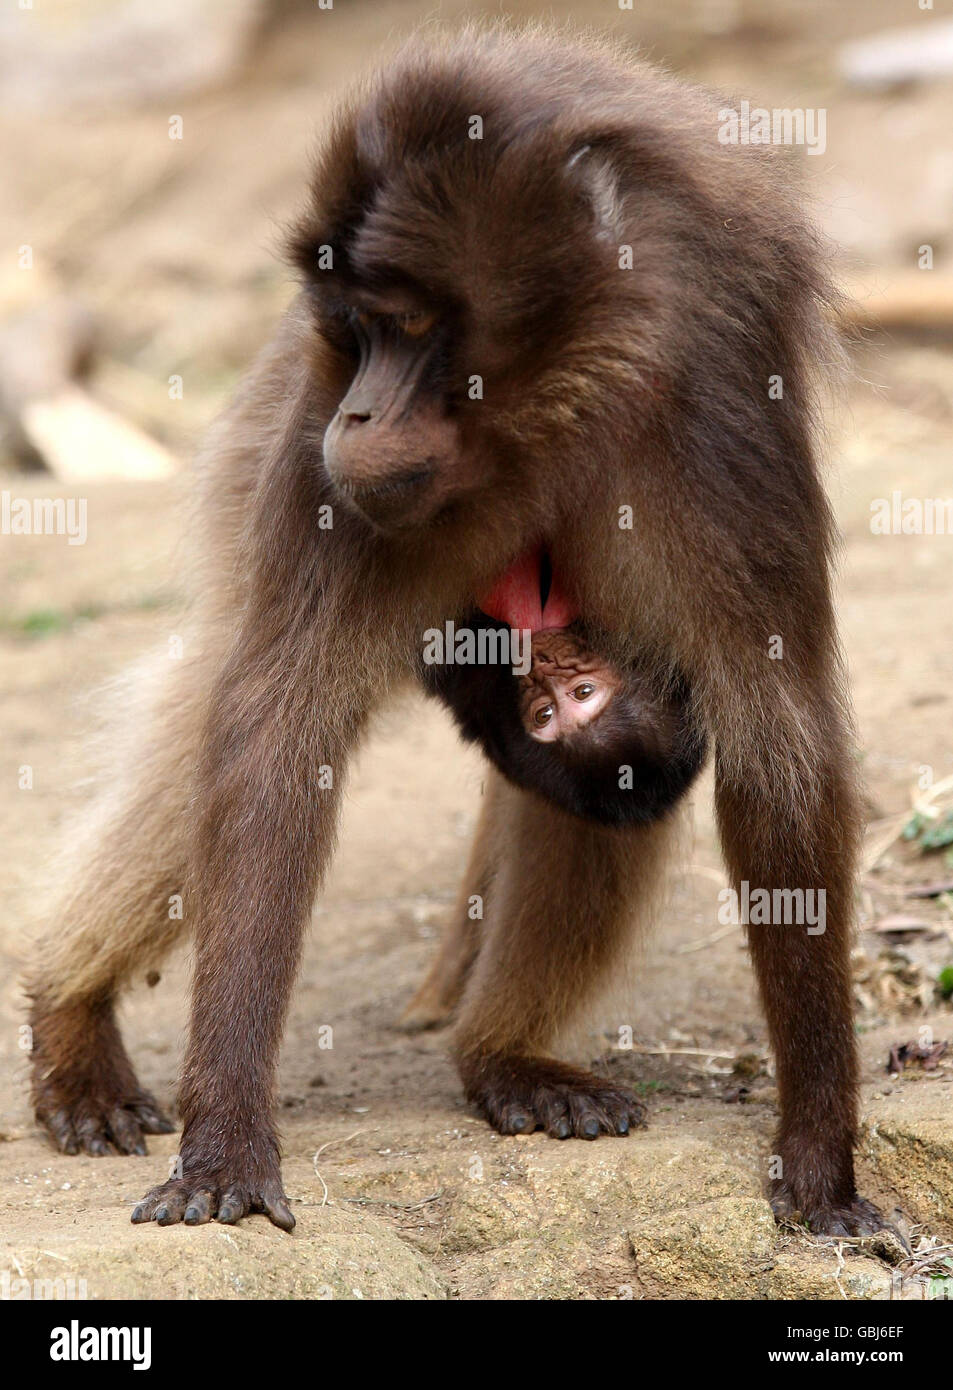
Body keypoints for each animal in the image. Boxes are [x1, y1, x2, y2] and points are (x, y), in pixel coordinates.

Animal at [26, 26, 884, 1238]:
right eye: (358, 329)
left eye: (412, 328)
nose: (355, 414)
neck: (564, 385)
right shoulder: (317, 436)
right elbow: (273, 729)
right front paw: (225, 1137)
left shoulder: (721, 394)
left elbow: (776, 745)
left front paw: (817, 1153)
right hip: (261, 434)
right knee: (209, 708)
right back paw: (67, 1010)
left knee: (608, 795)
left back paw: (503, 1056)